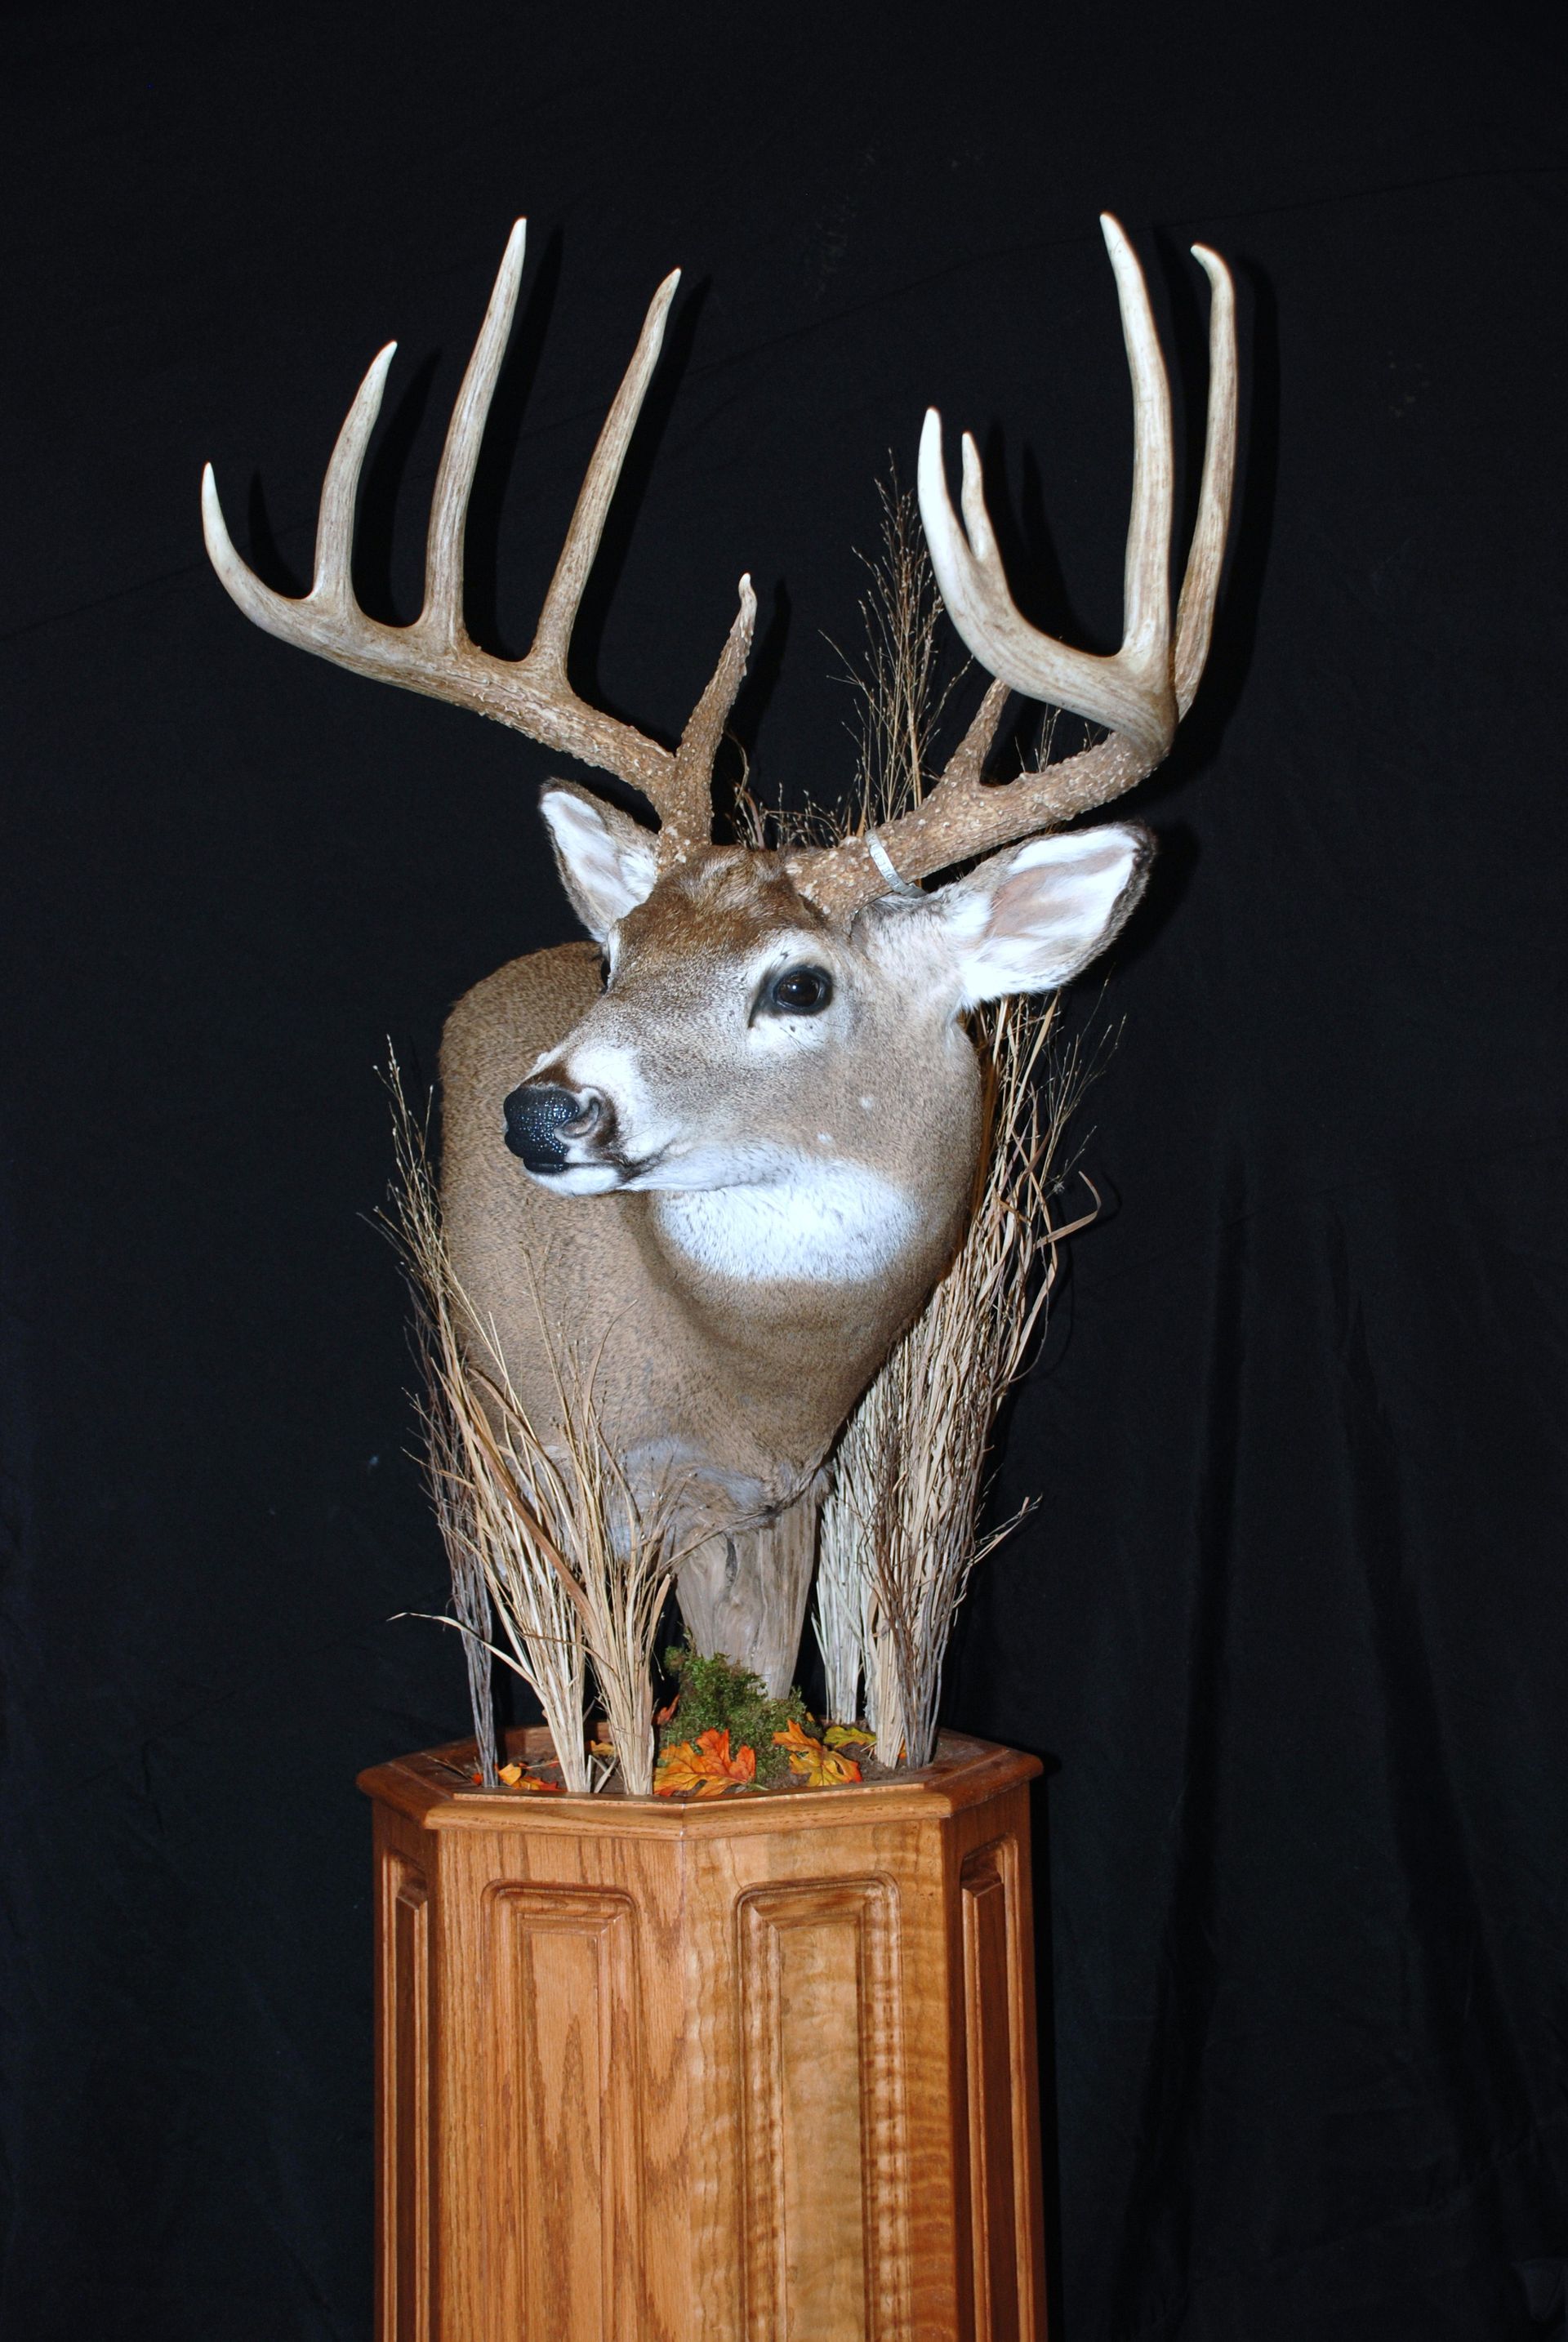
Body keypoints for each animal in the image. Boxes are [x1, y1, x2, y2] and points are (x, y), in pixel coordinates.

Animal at [202, 216, 1236, 1694]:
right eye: (620, 955)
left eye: (800, 982)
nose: (544, 1110)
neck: (738, 1370)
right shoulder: (587, 1468)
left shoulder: (780, 1493)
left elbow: (769, 1681)